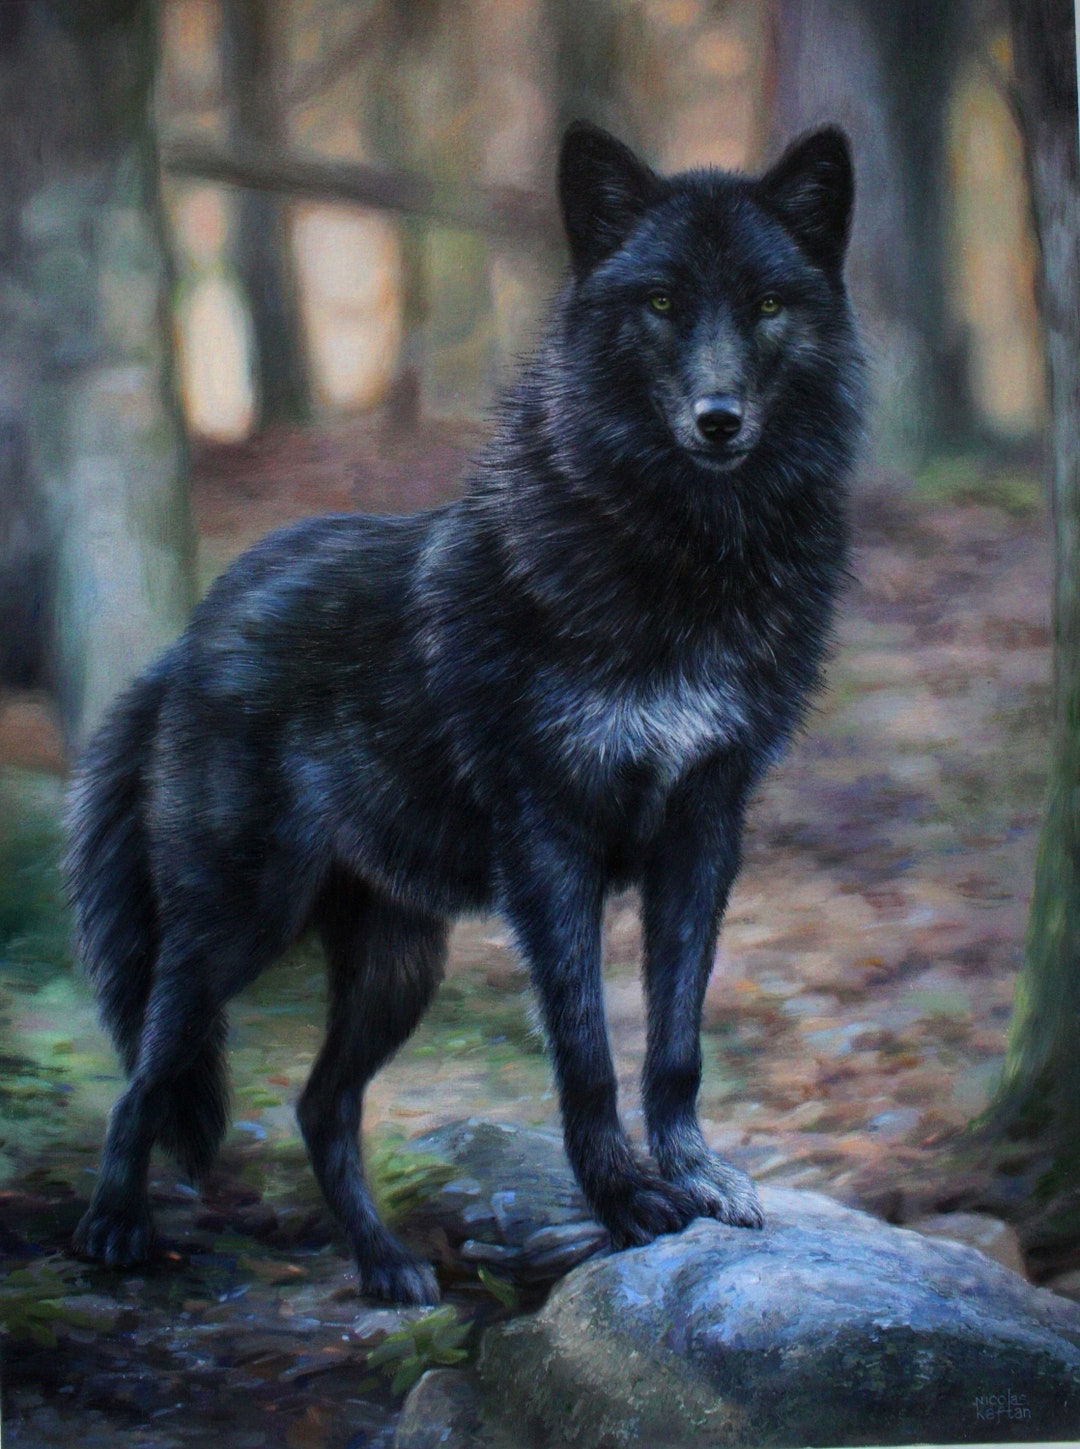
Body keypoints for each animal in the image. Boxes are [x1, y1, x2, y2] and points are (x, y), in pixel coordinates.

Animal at [68, 121, 863, 1303]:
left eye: (768, 305)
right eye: (662, 303)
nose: (718, 420)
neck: (684, 566)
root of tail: (182, 642)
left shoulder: (704, 831)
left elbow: (675, 1041)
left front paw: (698, 1177)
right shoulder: (549, 842)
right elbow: (585, 1051)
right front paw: (627, 1203)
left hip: (400, 964)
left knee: (319, 1102)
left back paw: (390, 1268)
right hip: (237, 922)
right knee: (151, 1066)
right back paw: (114, 1229)